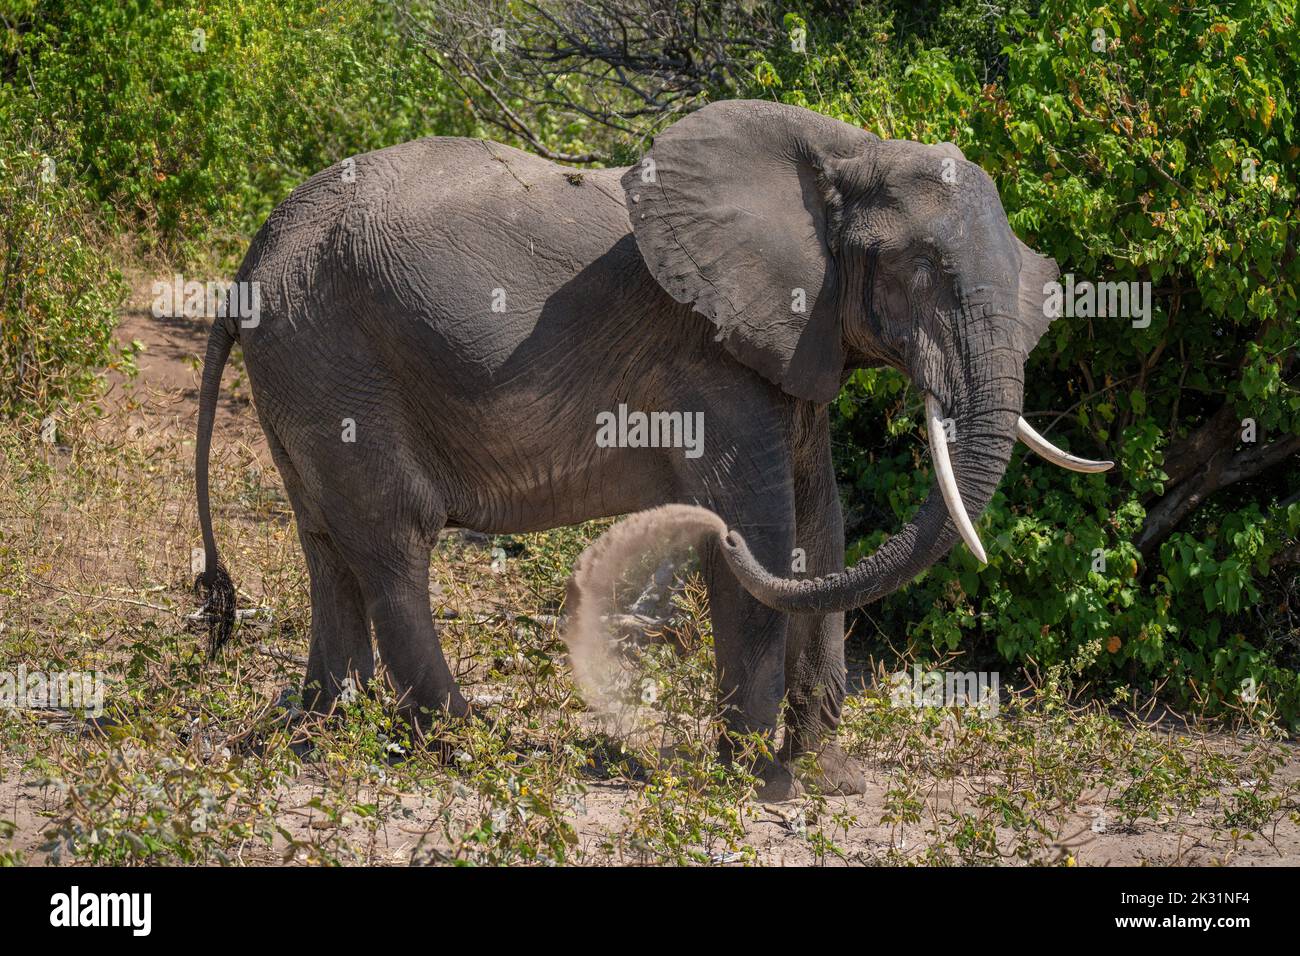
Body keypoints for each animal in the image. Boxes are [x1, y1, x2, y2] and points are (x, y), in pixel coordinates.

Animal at [195, 99, 1111, 799]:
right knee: (393, 544)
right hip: (332, 355)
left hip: (303, 365)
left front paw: (830, 780)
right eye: (923, 270)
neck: (848, 151)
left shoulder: (793, 339)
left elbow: (824, 525)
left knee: (328, 543)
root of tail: (252, 255)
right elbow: (767, 526)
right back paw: (469, 746)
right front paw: (755, 780)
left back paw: (324, 729)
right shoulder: (707, 352)